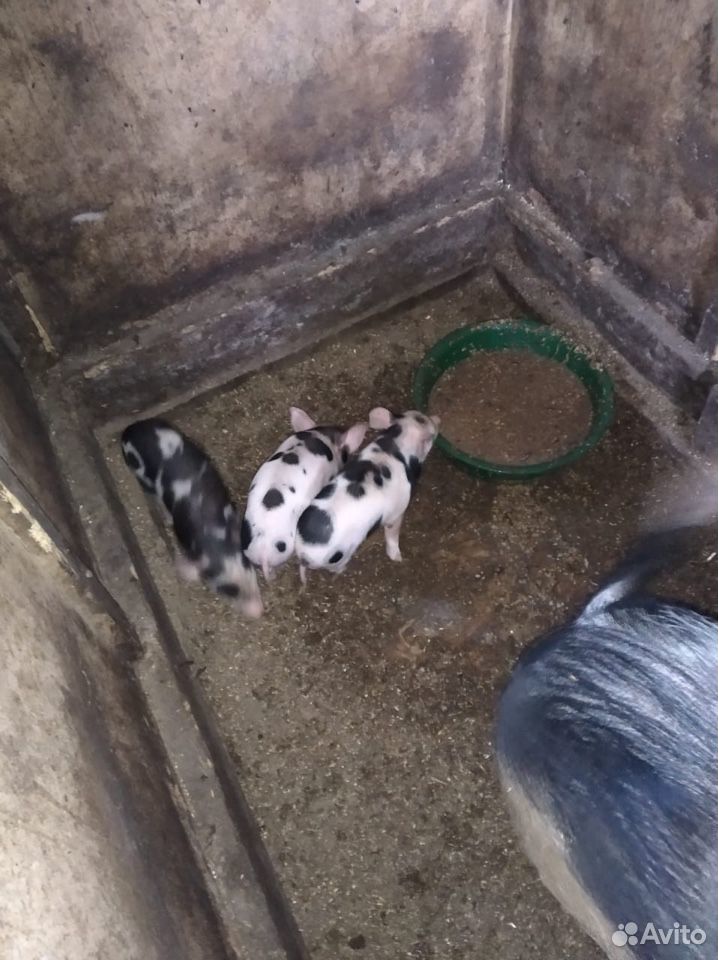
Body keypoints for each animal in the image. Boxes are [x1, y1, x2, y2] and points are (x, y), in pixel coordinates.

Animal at [121, 418, 263, 618]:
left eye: (249, 570)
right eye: (227, 590)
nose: (258, 611)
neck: (212, 536)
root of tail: (129, 430)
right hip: (139, 474)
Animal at [295, 407, 440, 581]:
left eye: (416, 415)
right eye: (431, 433)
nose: (436, 418)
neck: (396, 445)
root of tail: (303, 554)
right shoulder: (397, 512)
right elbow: (392, 533)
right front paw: (398, 558)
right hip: (340, 556)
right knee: (335, 568)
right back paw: (343, 570)